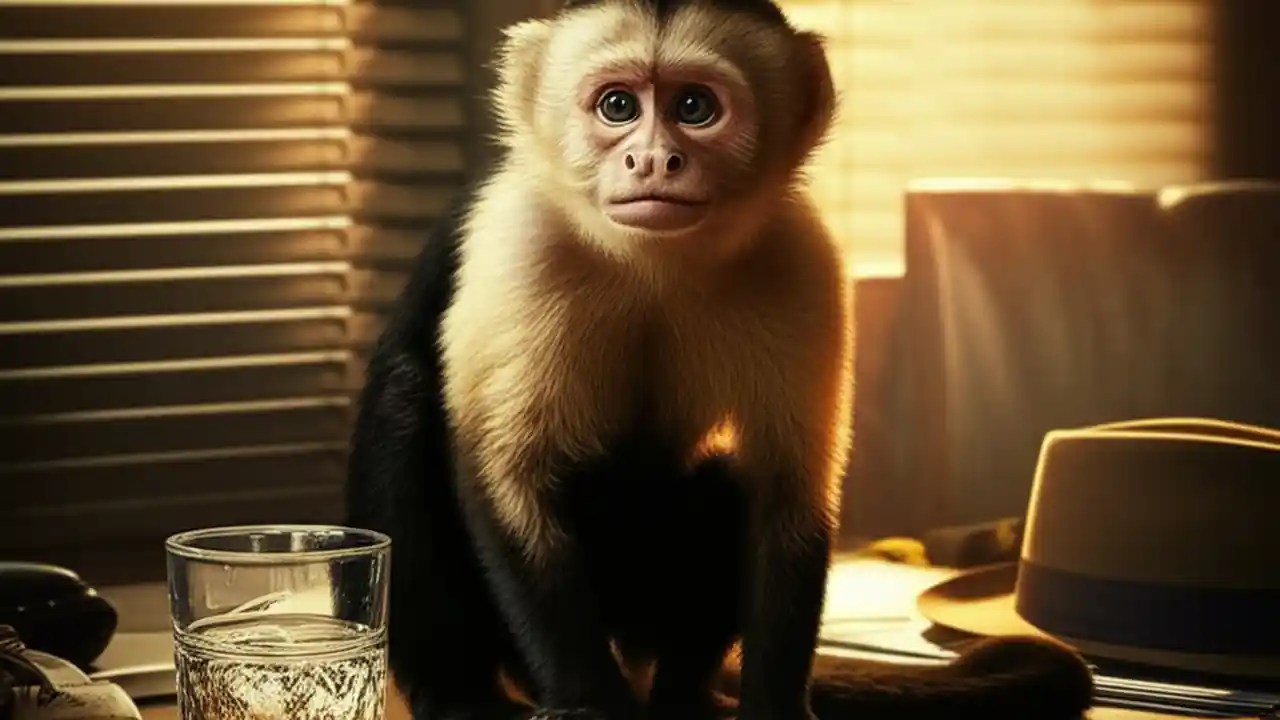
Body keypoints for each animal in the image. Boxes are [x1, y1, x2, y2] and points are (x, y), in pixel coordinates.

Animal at [344, 1, 1095, 719]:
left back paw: (687, 695)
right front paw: (587, 702)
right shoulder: (520, 241)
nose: (653, 161)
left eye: (694, 107)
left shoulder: (799, 257)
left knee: (728, 481)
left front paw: (776, 705)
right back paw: (462, 693)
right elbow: (509, 479)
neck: (650, 261)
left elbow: (787, 493)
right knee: (407, 401)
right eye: (618, 106)